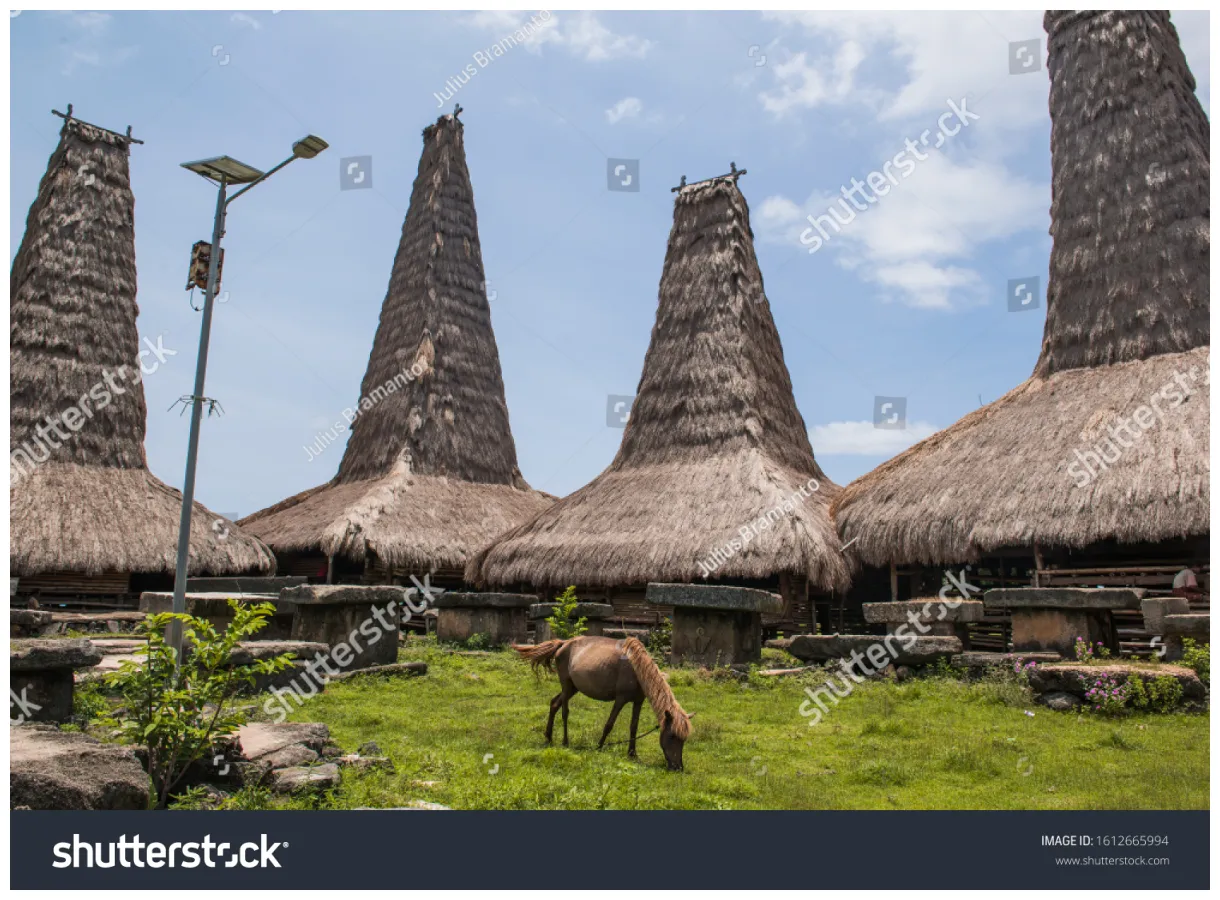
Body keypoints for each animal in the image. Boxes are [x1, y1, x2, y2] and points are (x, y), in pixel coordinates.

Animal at [515, 636, 692, 771]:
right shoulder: (620, 700)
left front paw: (632, 754)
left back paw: (548, 738)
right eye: (672, 736)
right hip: (566, 685)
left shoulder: (638, 702)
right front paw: (599, 747)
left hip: (573, 688)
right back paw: (565, 742)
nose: (678, 768)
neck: (636, 667)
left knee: (554, 704)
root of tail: (563, 643)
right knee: (564, 712)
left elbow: (633, 727)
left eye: (684, 739)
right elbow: (609, 724)